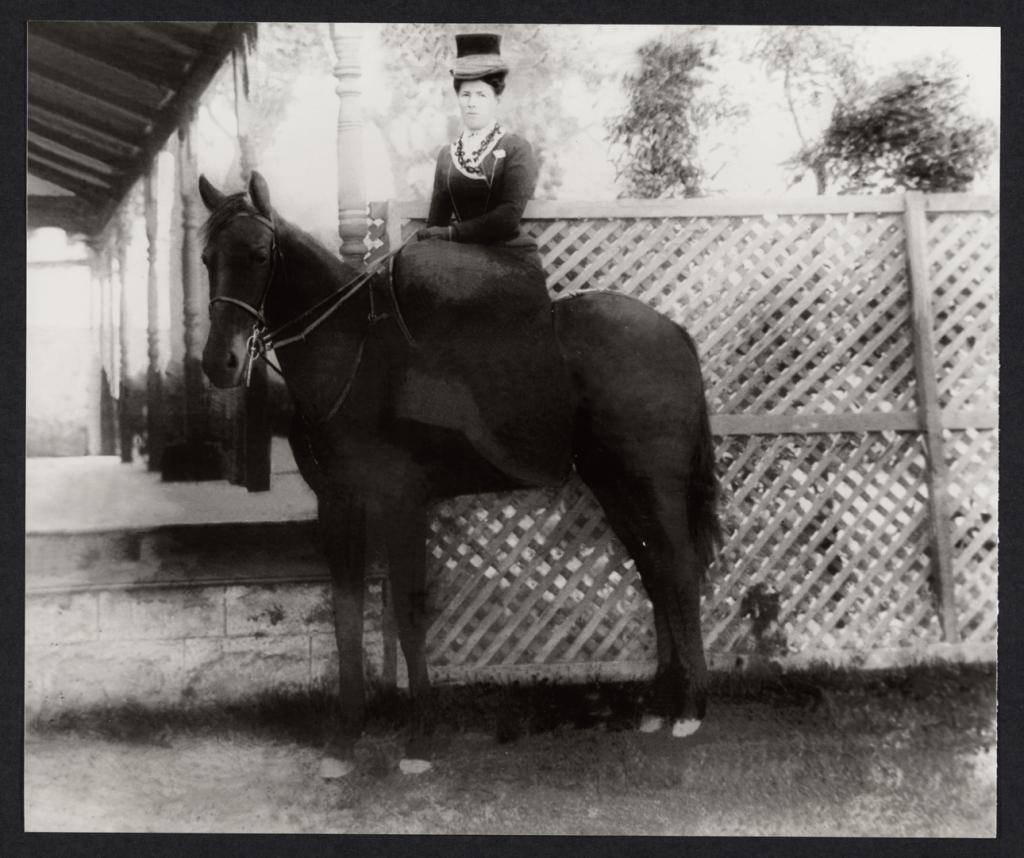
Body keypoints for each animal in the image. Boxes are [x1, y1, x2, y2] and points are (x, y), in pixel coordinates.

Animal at [199, 172, 722, 779]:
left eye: (259, 255)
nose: (219, 363)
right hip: (616, 486)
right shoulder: (339, 504)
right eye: (208, 257)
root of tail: (672, 330)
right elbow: (346, 618)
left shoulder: (400, 504)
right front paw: (344, 741)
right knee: (655, 573)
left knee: (678, 570)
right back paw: (661, 706)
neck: (354, 355)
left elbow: (407, 614)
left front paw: (419, 740)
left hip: (652, 484)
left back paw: (692, 710)